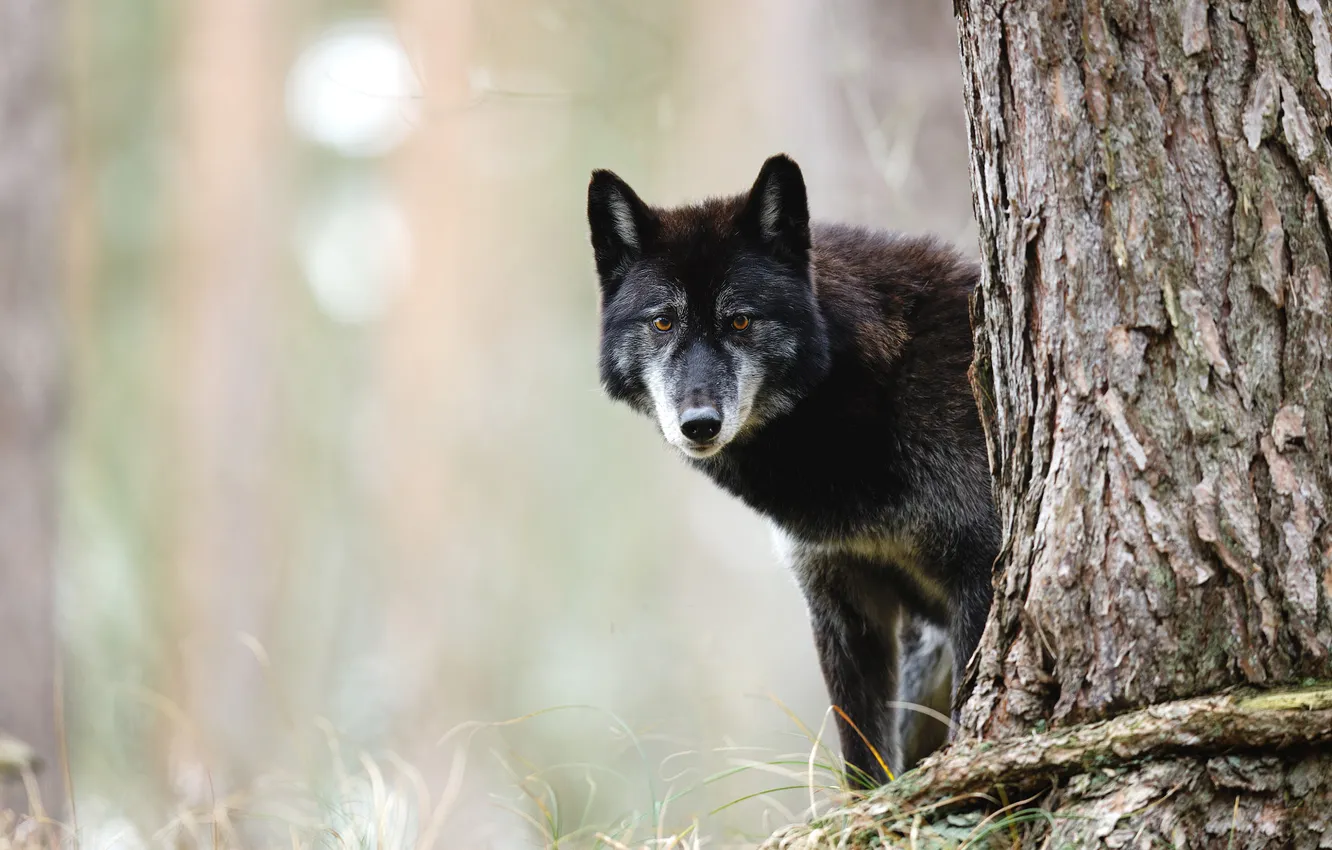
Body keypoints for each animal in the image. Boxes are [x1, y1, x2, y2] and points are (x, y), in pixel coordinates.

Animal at [586, 154, 998, 785]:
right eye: (662, 323)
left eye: (740, 322)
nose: (698, 424)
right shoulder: (840, 599)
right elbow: (863, 761)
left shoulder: (979, 572)